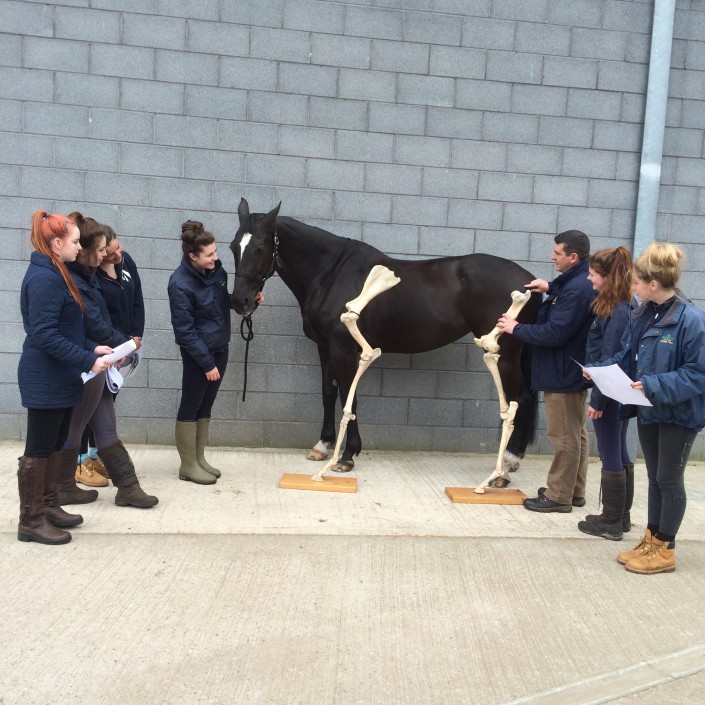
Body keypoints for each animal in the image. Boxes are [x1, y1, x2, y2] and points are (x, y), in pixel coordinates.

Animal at [230, 199, 542, 484]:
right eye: (234, 247)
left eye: (260, 247)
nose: (240, 302)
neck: (332, 274)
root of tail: (530, 283)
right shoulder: (325, 348)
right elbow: (328, 393)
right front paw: (322, 445)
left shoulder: (345, 349)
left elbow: (348, 395)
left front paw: (346, 457)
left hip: (504, 354)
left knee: (522, 398)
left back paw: (505, 467)